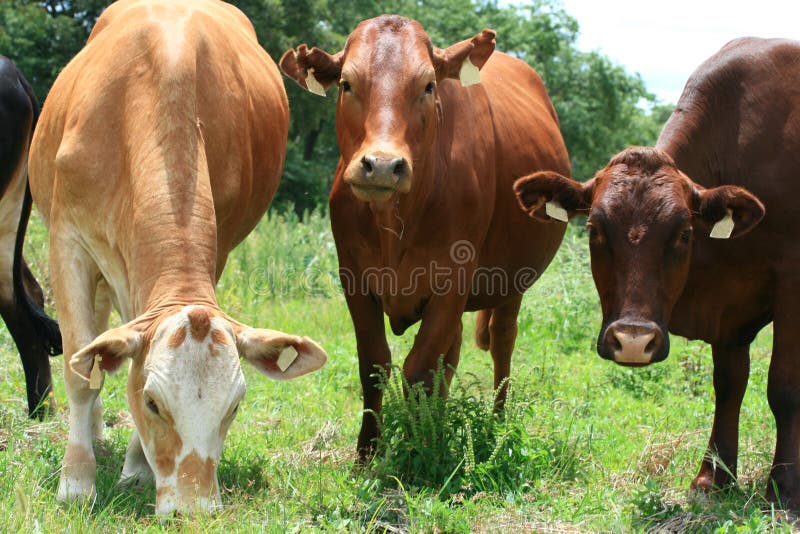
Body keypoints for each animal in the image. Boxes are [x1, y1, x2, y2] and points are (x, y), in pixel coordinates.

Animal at [28, 0, 328, 515]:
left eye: (234, 406)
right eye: (153, 403)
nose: (194, 508)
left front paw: (136, 469)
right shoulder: (67, 239)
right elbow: (80, 369)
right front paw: (77, 481)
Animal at [280, 15, 570, 458]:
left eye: (429, 85)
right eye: (346, 84)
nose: (383, 166)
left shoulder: (453, 280)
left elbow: (417, 370)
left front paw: (418, 450)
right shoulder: (354, 277)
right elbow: (375, 363)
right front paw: (367, 453)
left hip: (512, 282)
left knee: (502, 342)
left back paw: (496, 422)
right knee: (450, 356)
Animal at [513, 37, 800, 507]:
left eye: (683, 233)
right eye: (594, 229)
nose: (633, 340)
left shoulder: (791, 285)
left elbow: (784, 387)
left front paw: (784, 488)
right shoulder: (730, 312)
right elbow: (729, 383)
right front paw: (713, 478)